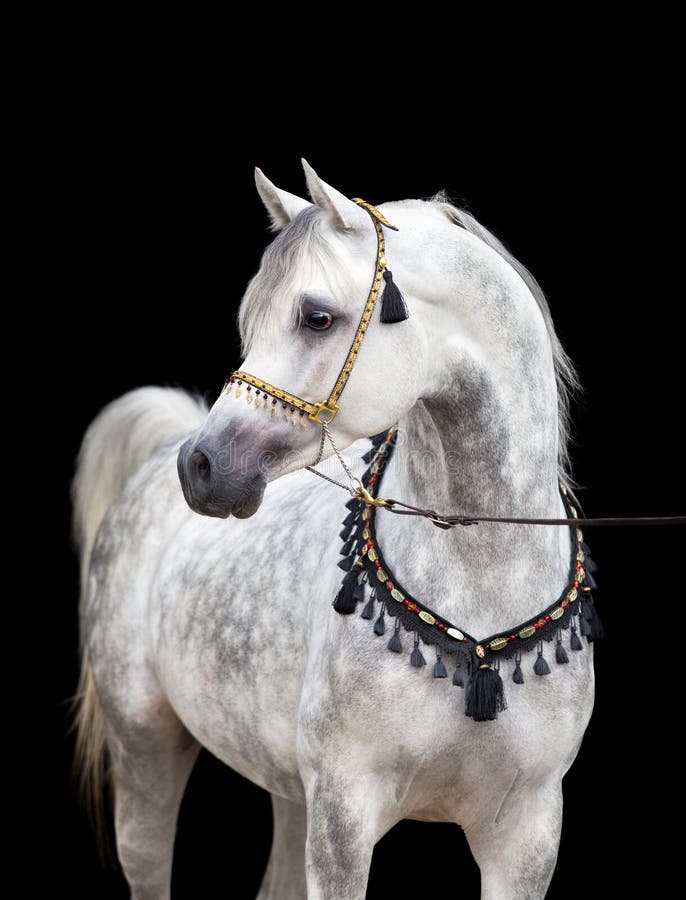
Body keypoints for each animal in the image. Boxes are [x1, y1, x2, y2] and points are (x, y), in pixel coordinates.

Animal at [73, 159, 595, 899]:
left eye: (316, 317)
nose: (202, 468)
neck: (481, 598)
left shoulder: (527, 834)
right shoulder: (343, 819)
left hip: (287, 788)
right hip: (145, 751)